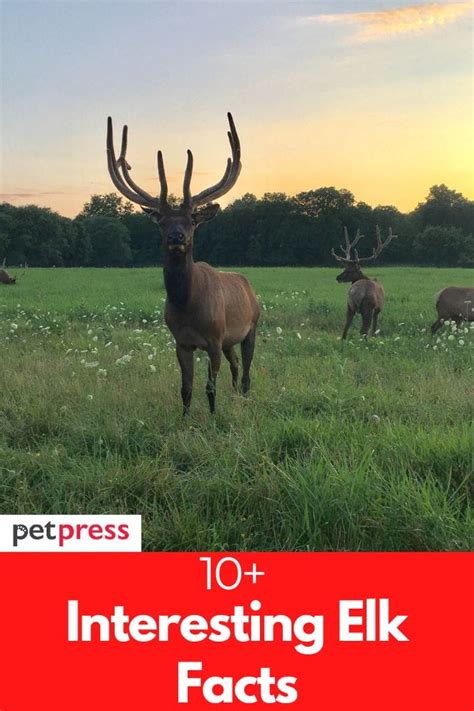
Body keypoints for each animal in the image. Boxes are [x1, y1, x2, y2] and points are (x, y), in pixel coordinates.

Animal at [106, 113, 260, 415]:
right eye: (162, 222)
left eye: (191, 220)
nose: (176, 237)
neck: (188, 305)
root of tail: (249, 286)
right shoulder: (181, 342)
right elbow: (185, 388)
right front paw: (185, 418)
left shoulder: (214, 339)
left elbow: (209, 387)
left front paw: (213, 417)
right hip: (230, 340)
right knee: (236, 366)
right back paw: (236, 396)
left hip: (252, 327)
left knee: (248, 371)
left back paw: (245, 399)